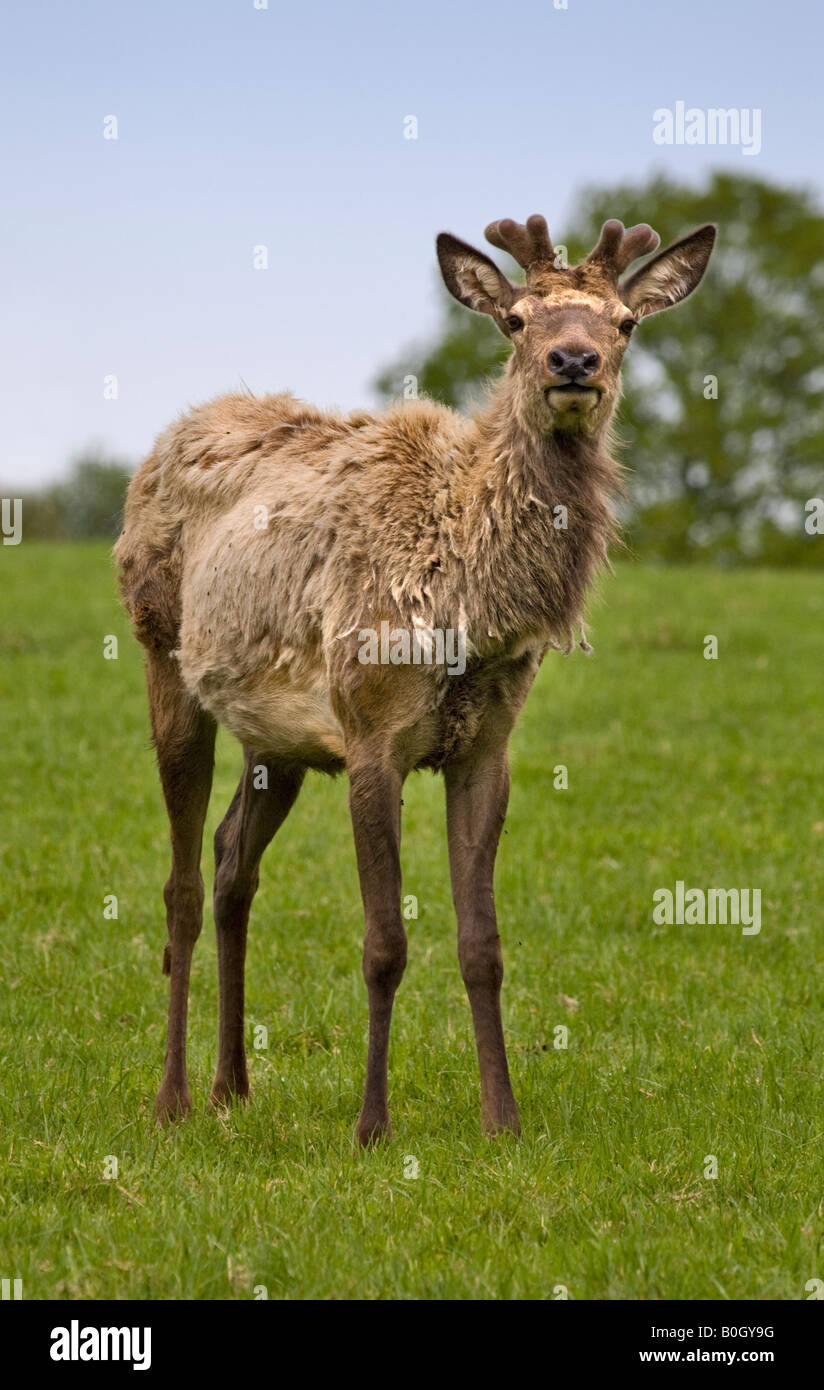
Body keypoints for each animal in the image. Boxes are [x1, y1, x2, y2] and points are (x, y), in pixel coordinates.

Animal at [115, 211, 715, 1145]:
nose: (572, 362)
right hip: (162, 652)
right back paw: (173, 1099)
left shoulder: (485, 748)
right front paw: (372, 1125)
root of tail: (167, 438)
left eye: (624, 323)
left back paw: (232, 1086)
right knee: (179, 882)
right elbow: (384, 943)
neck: (473, 602)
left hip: (278, 738)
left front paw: (503, 1118)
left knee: (229, 861)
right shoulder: (370, 733)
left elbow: (483, 944)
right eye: (516, 321)